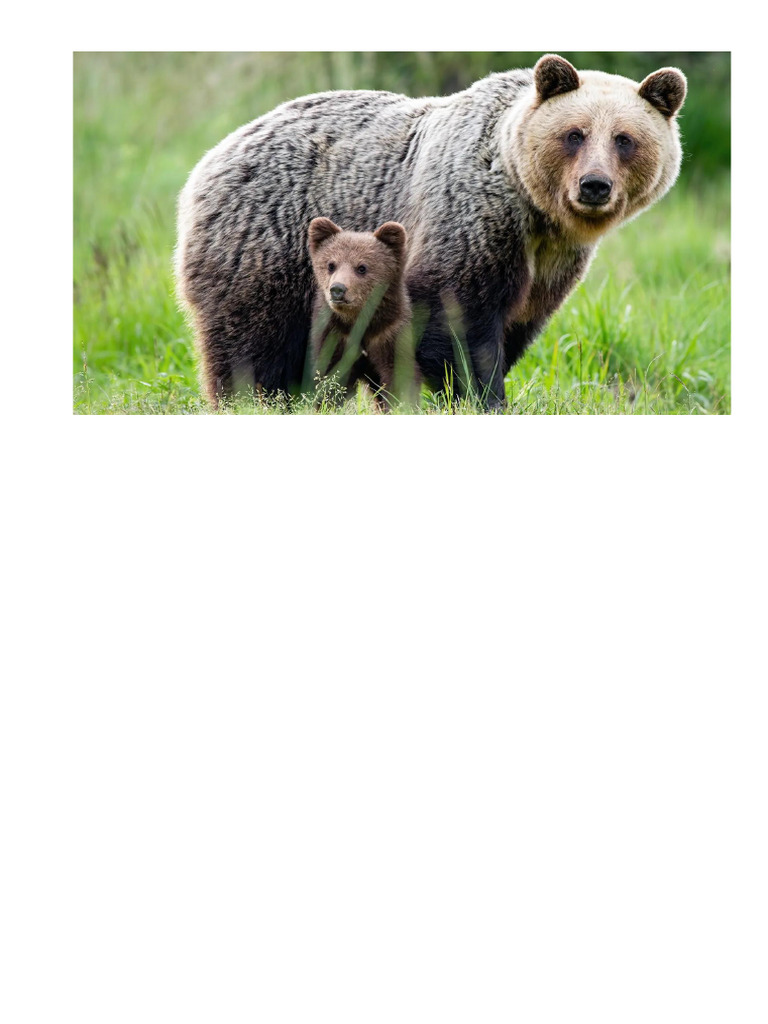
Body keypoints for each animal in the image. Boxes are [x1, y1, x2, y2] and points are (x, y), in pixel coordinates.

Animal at [307, 217, 418, 410]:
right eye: (331, 265)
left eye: (361, 267)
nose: (338, 289)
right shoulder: (335, 335)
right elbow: (331, 375)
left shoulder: (389, 333)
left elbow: (398, 374)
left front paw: (400, 405)